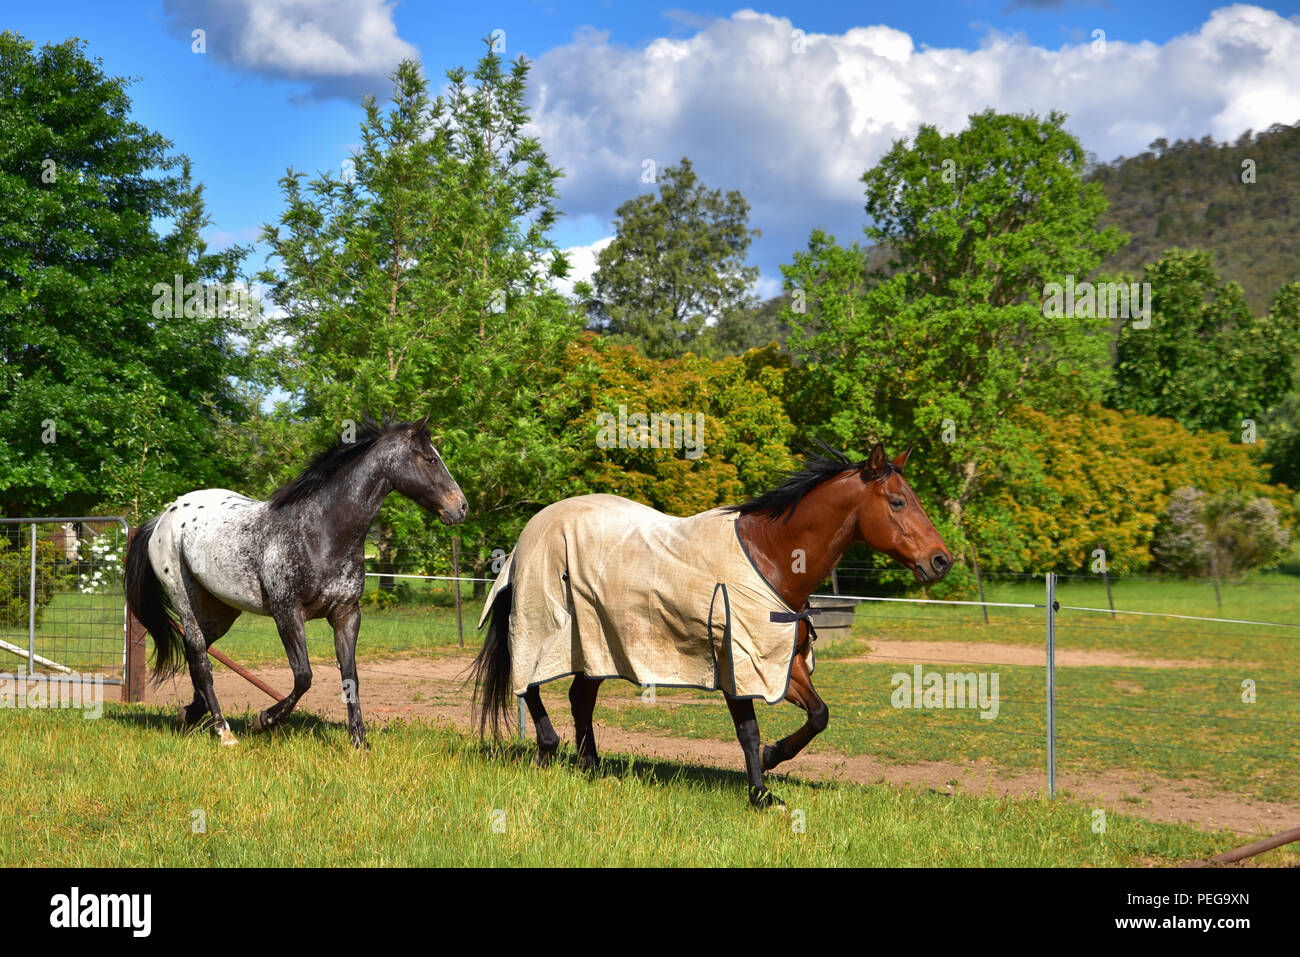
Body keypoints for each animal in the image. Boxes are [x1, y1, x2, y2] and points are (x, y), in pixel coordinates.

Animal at [125, 416, 467, 748]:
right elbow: (304, 676)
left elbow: (351, 677)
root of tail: (162, 518)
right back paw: (225, 732)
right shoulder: (287, 613)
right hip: (185, 601)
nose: (461, 507)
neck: (321, 533)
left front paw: (359, 743)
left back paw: (192, 714)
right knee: (199, 657)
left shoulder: (346, 614)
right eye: (430, 459)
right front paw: (264, 721)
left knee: (197, 653)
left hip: (220, 610)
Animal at [471, 441, 952, 807]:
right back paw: (549, 747)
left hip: (595, 644)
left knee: (579, 698)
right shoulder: (738, 666)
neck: (772, 559)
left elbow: (819, 715)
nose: (941, 561)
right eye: (897, 502)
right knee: (527, 683)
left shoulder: (782, 662)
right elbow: (748, 731)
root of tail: (531, 530)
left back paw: (593, 767)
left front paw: (774, 758)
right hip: (543, 626)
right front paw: (761, 794)